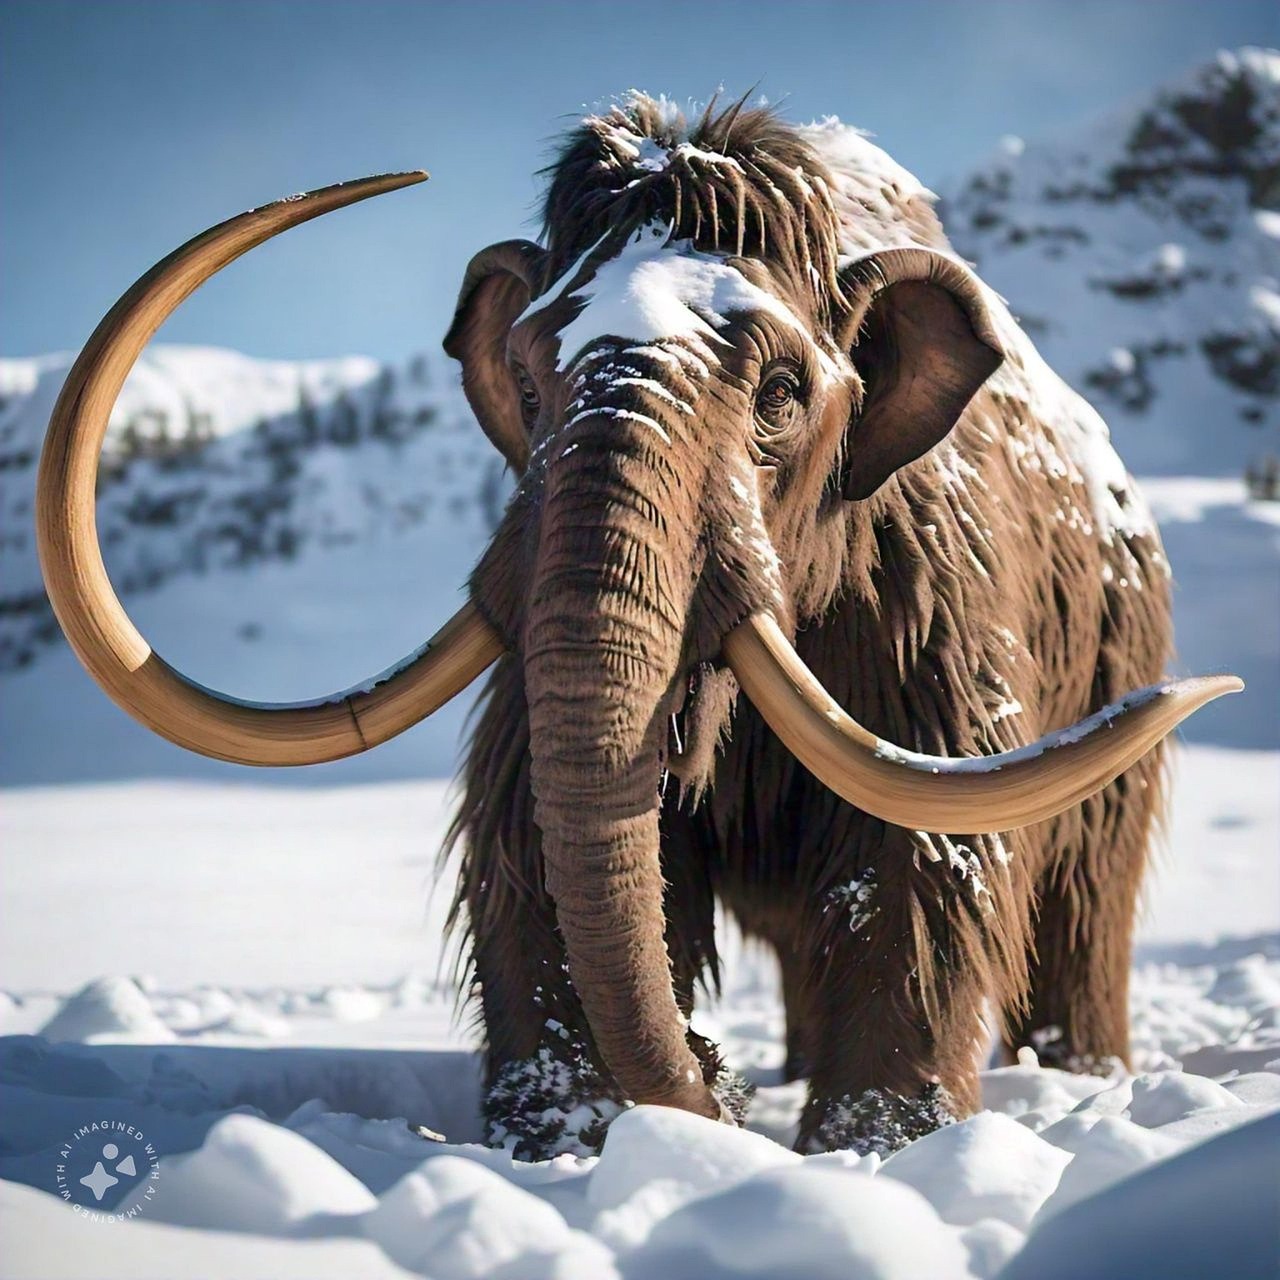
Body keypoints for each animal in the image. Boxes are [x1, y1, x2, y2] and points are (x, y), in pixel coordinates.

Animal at [38, 94, 1241, 1159]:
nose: (718, 1074)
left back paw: (1074, 1074)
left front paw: (875, 1147)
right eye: (528, 378)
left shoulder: (933, 623)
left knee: (1079, 920)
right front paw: (560, 1139)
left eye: (781, 391)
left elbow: (912, 869)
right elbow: (531, 841)